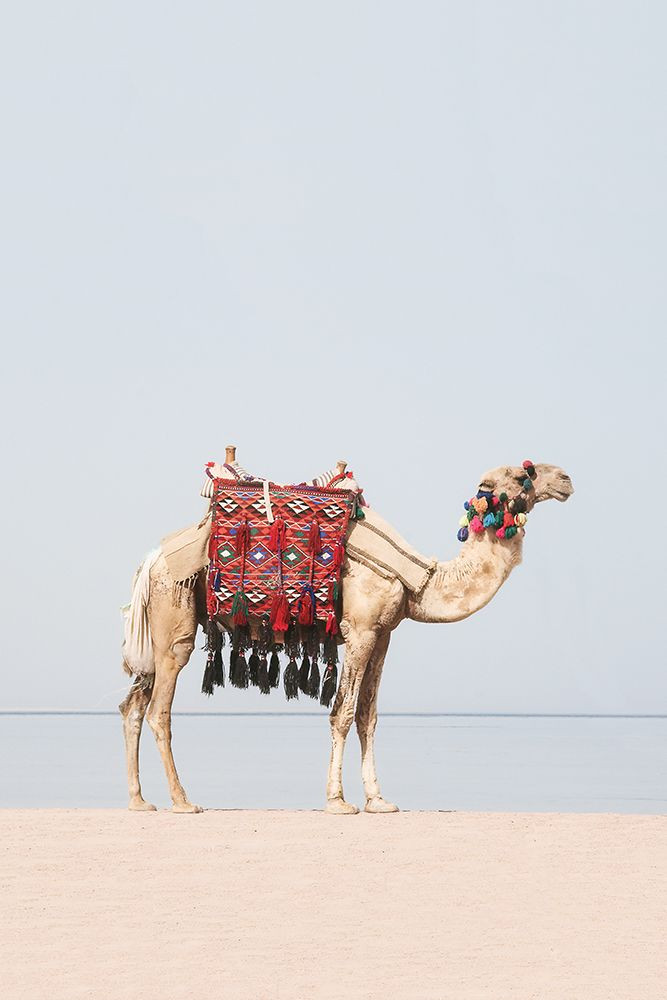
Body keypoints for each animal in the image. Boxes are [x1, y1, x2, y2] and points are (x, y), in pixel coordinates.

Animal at [119, 460, 573, 814]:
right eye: (523, 474)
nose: (567, 479)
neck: (420, 581)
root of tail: (151, 559)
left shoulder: (383, 634)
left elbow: (367, 716)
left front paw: (378, 800)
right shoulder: (361, 629)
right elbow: (342, 711)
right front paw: (338, 800)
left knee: (133, 705)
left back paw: (140, 800)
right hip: (175, 612)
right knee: (160, 707)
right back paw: (182, 800)